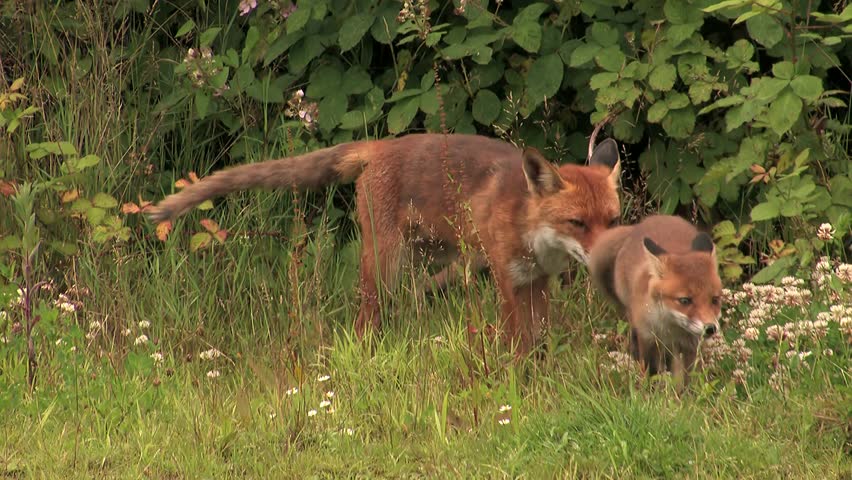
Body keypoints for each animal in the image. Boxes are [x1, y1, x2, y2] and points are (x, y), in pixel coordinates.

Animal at [148, 133, 622, 355]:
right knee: (363, 325)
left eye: (612, 221)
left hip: (422, 262)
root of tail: (380, 145)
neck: (530, 229)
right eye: (577, 222)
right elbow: (516, 340)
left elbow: (538, 338)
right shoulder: (506, 280)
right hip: (384, 266)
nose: (607, 260)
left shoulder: (538, 281)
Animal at [588, 215, 723, 380]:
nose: (710, 328)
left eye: (715, 300)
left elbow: (688, 378)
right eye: (685, 300)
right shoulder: (647, 338)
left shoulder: (690, 346)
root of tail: (649, 219)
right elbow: (648, 371)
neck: (670, 329)